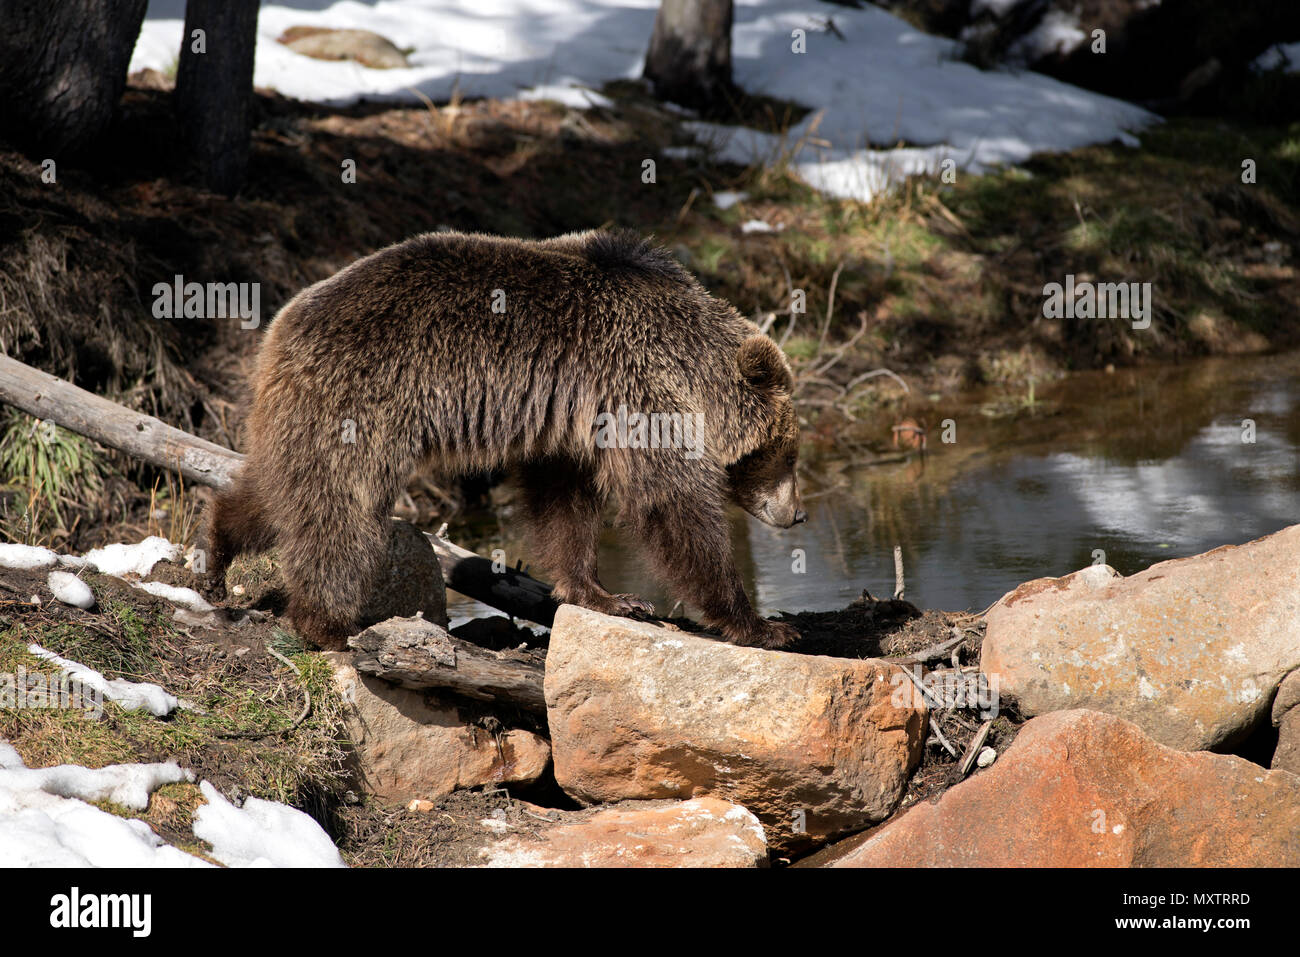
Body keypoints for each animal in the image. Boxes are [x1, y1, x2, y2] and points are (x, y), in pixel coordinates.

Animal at [204, 228, 805, 651]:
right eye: (786, 454)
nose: (796, 514)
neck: (690, 360)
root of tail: (282, 323)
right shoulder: (637, 383)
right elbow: (672, 502)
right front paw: (761, 624)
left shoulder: (571, 416)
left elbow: (562, 504)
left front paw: (604, 595)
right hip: (363, 400)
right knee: (339, 511)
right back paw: (327, 624)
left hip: (303, 412)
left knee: (274, 488)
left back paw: (217, 553)